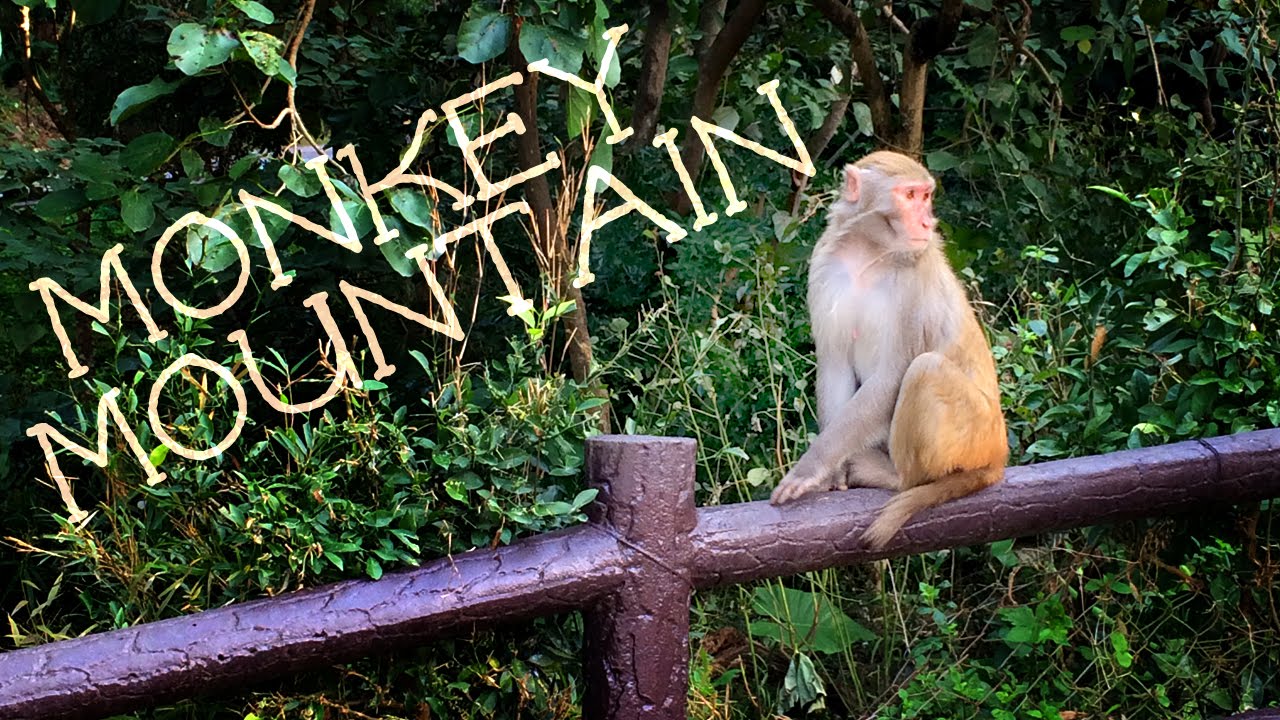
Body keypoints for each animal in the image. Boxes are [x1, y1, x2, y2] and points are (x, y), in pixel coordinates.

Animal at [770, 150, 1007, 550]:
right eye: (910, 196)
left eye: (925, 196)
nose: (928, 221)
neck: (870, 254)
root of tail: (999, 456)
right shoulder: (824, 264)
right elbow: (835, 366)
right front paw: (831, 474)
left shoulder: (915, 278)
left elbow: (893, 375)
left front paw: (810, 468)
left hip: (975, 433)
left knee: (925, 369)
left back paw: (898, 477)